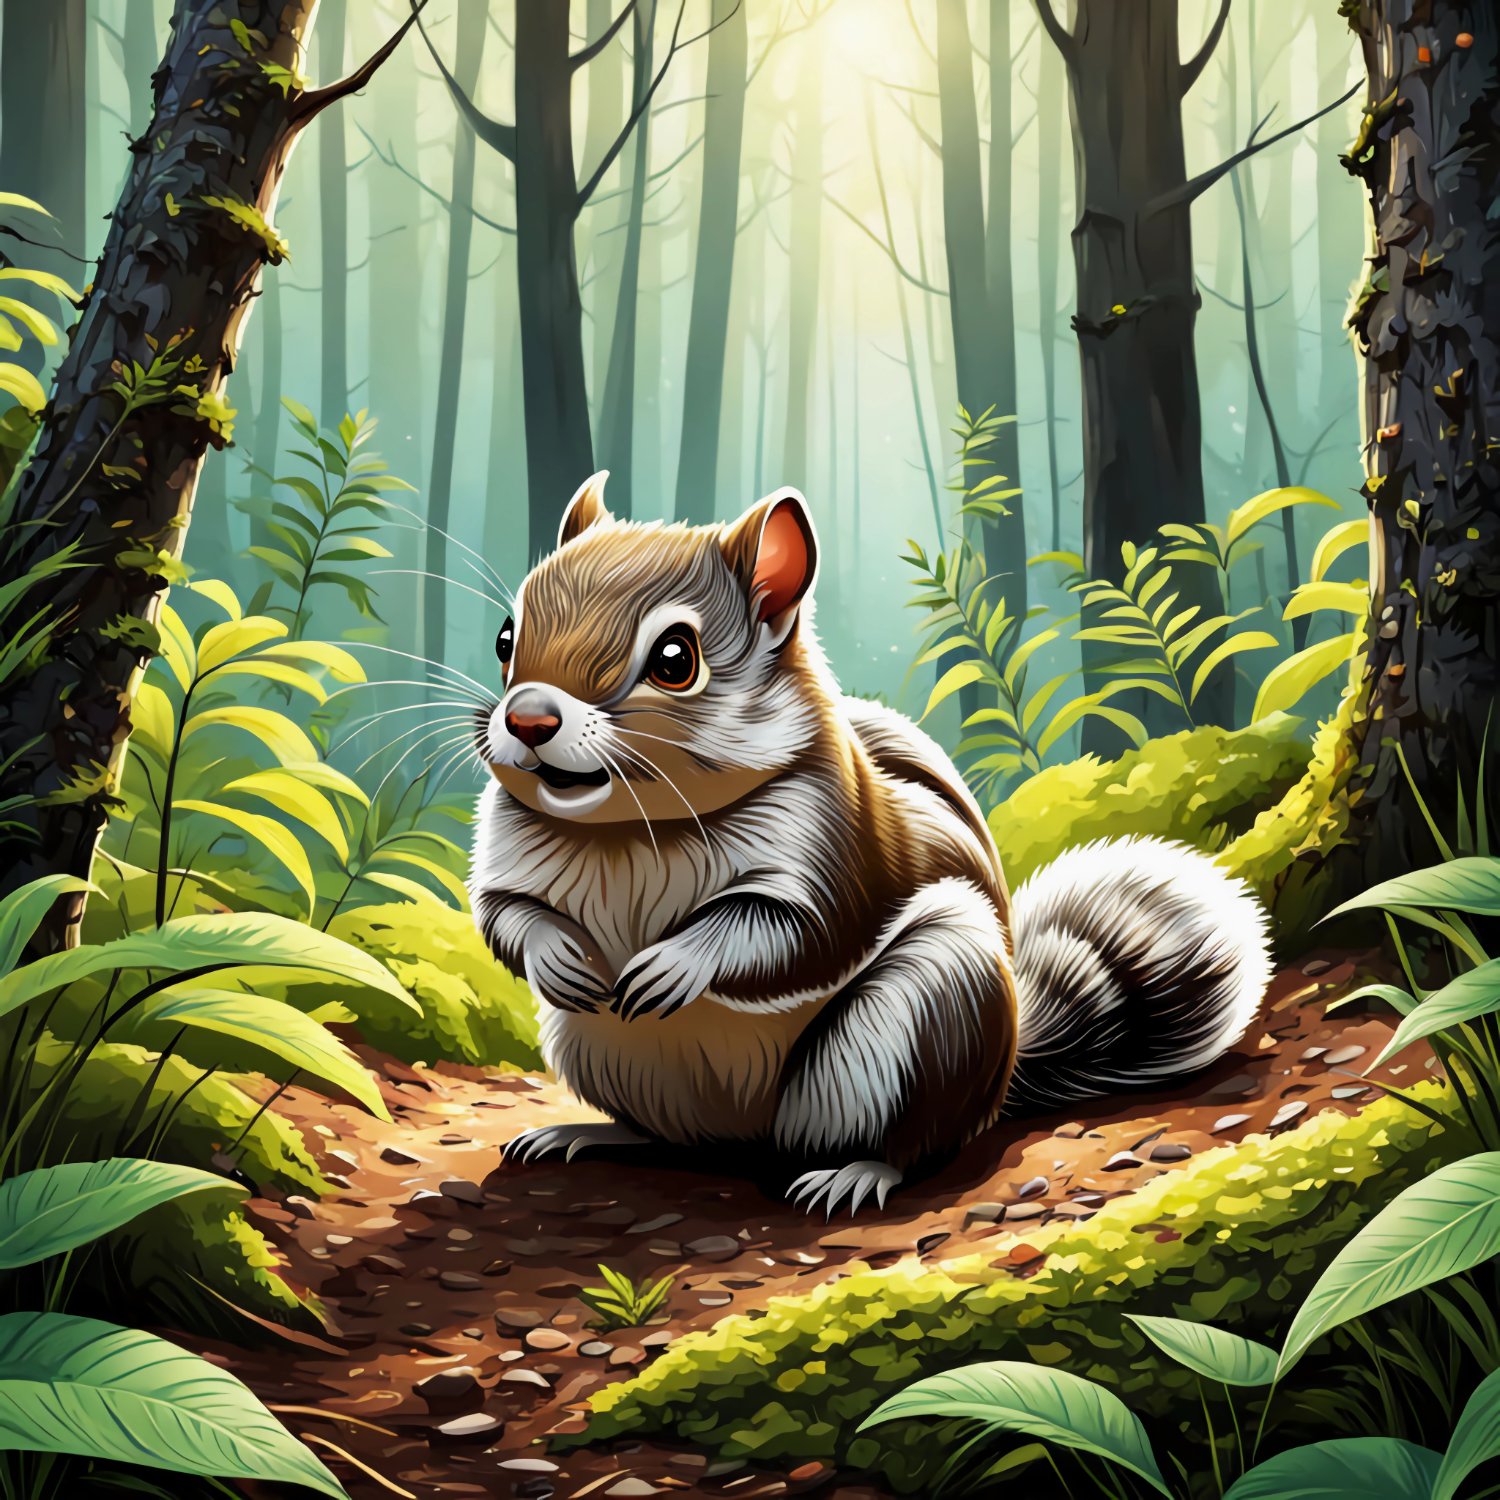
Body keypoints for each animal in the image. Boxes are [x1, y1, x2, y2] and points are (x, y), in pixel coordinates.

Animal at [469, 472, 1271, 1216]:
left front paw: (674, 964)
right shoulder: (505, 853)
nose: (528, 719)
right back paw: (585, 1133)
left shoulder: (837, 856)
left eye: (675, 658)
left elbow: (790, 933)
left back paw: (855, 1174)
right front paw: (557, 955)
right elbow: (503, 917)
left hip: (924, 1016)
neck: (632, 828)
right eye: (506, 637)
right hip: (595, 1047)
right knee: (664, 1137)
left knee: (915, 1142)